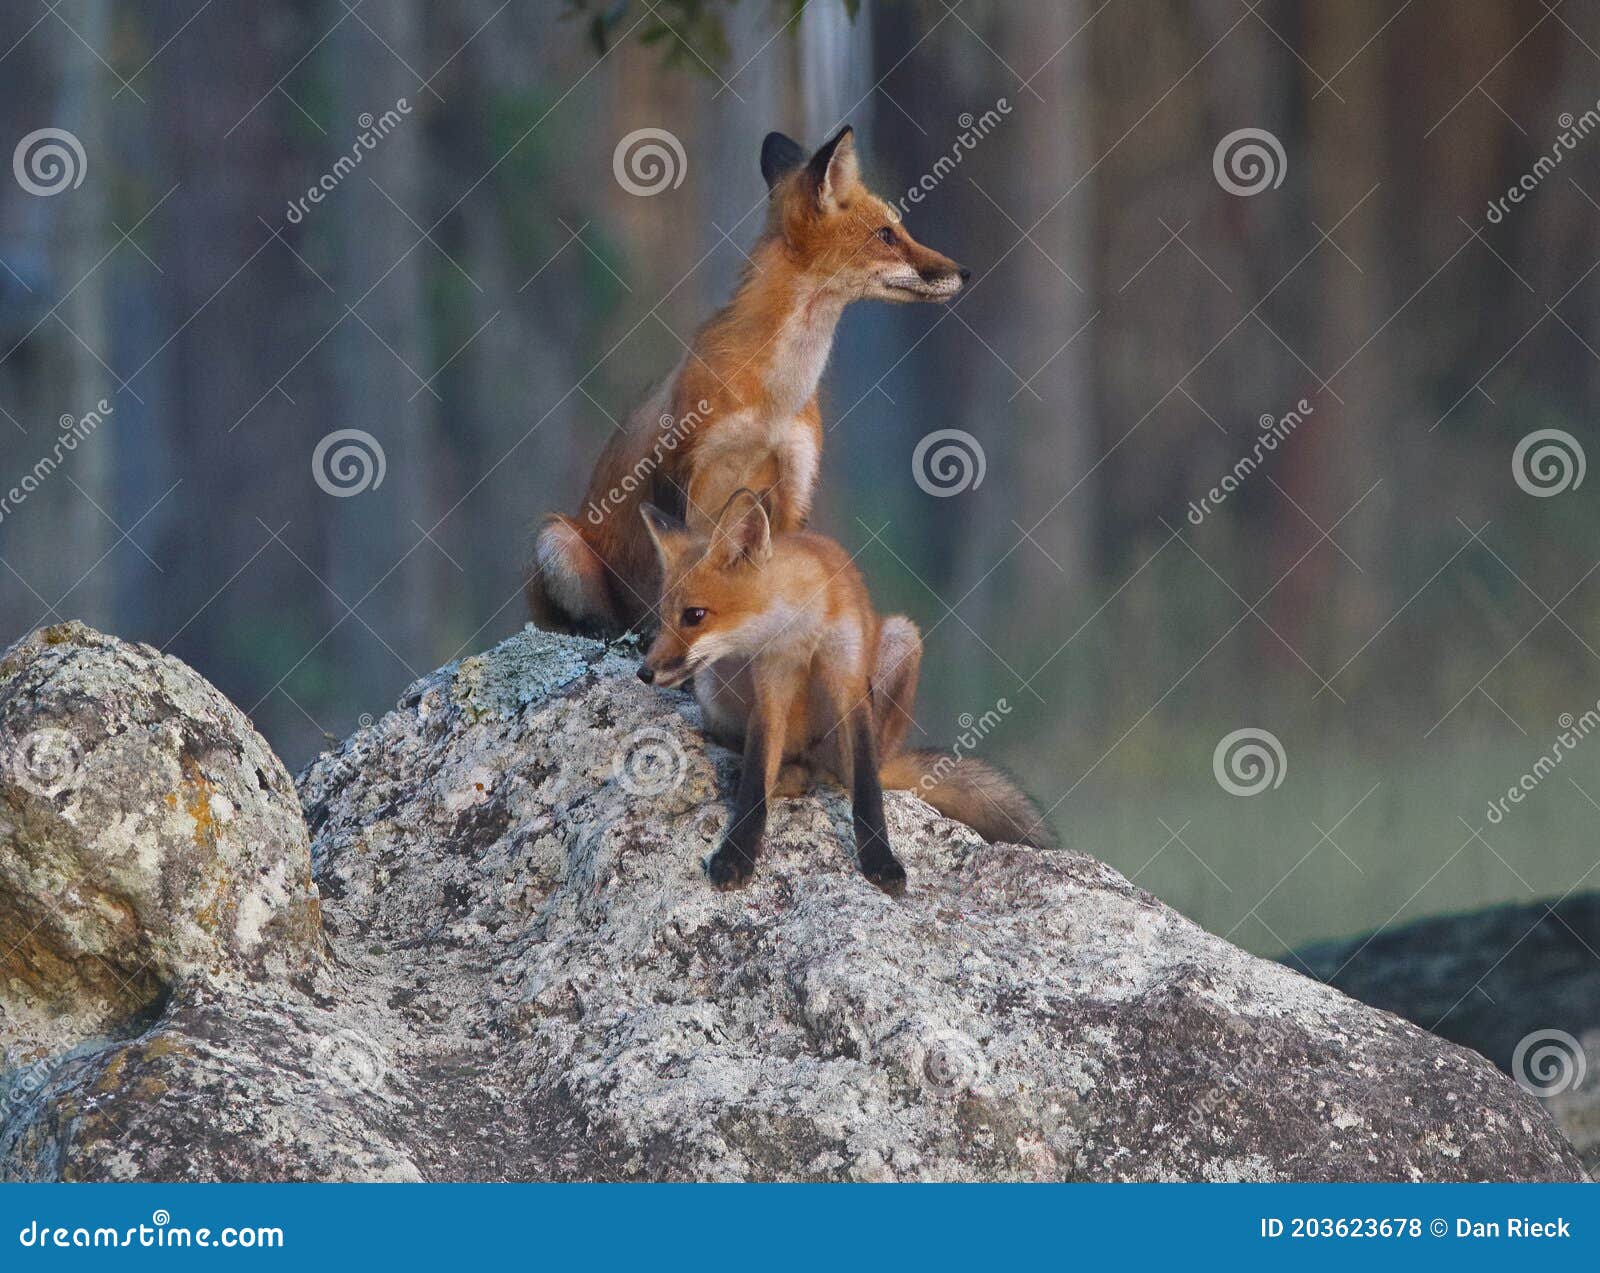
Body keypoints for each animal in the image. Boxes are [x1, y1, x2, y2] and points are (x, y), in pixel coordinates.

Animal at [527, 123, 969, 639]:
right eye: (886, 235)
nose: (964, 272)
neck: (772, 401)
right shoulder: (677, 470)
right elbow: (671, 569)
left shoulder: (795, 483)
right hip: (556, 539)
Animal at [635, 489, 1056, 894]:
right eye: (662, 616)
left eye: (694, 615)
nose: (644, 671)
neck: (802, 627)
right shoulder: (771, 682)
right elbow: (756, 781)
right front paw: (736, 855)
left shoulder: (850, 676)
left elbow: (867, 790)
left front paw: (880, 862)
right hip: (713, 680)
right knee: (786, 767)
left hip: (901, 640)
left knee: (843, 775)